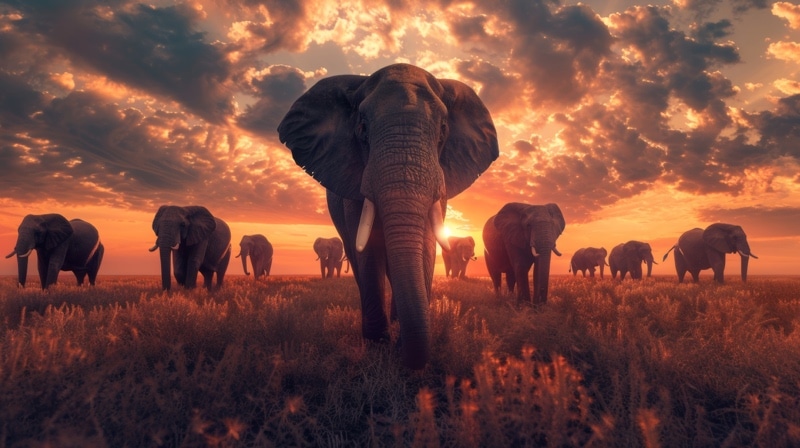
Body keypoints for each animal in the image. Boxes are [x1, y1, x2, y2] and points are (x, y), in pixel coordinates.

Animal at [278, 63, 498, 369]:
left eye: (443, 130)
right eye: (362, 129)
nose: (402, 350)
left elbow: (426, 245)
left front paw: (398, 338)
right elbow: (368, 249)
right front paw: (378, 344)